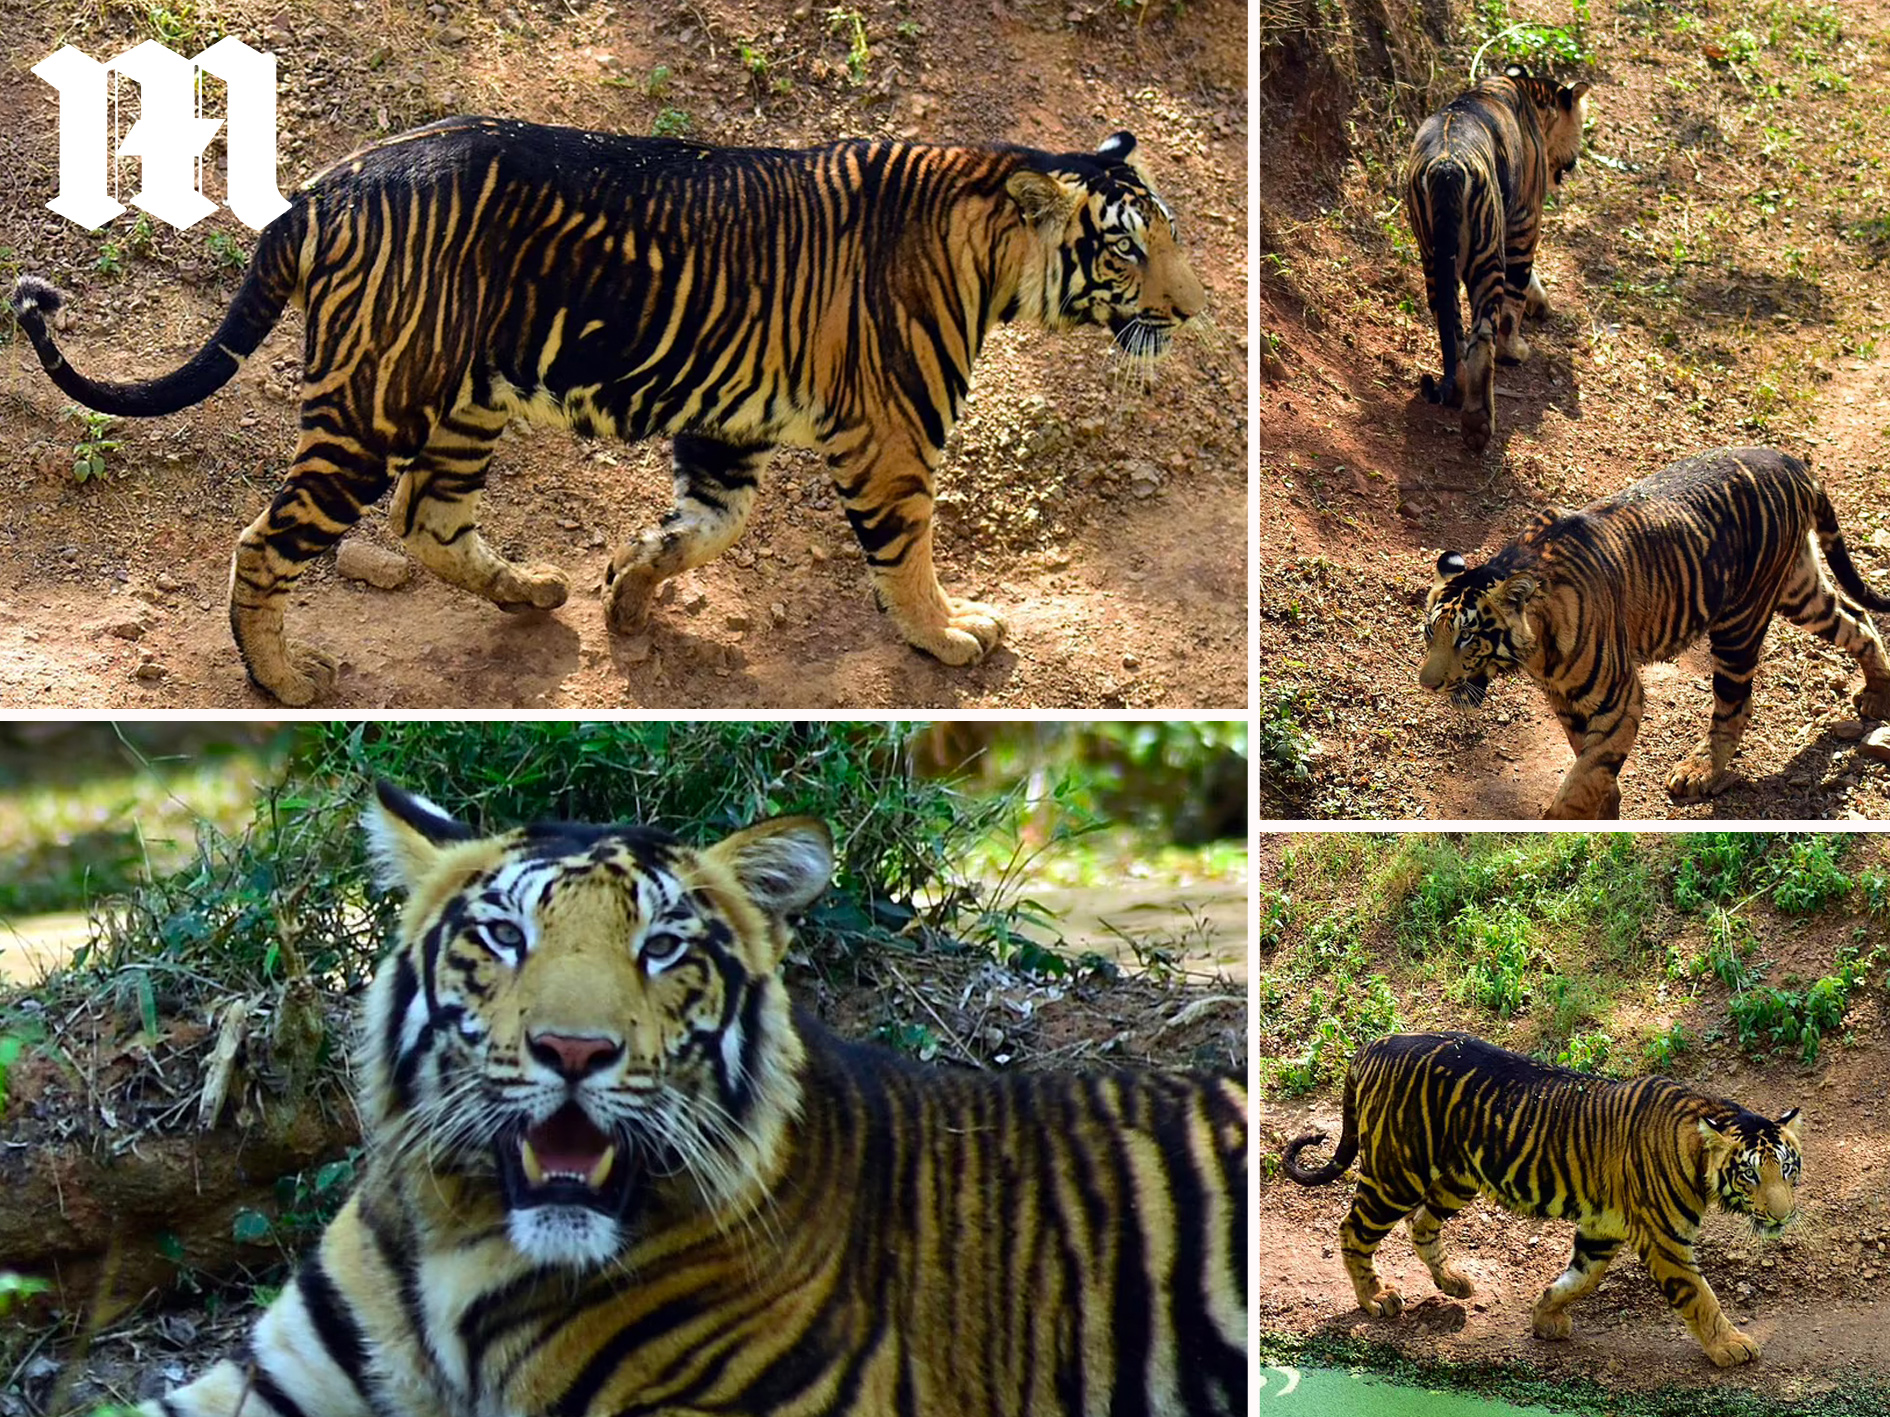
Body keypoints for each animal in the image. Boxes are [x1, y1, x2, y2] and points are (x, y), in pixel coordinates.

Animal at [10, 118, 1204, 706]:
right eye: (1129, 251)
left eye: (1171, 239)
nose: (1192, 310)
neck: (991, 252)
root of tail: (322, 183)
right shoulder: (892, 440)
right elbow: (906, 556)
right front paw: (950, 636)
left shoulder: (728, 426)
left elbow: (708, 525)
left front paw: (627, 590)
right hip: (374, 403)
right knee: (269, 539)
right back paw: (284, 678)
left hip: (465, 399)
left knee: (428, 521)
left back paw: (535, 591)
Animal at [1282, 1031, 1802, 1369]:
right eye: (1750, 1175)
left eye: (1787, 1169)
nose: (1783, 1215)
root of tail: (1373, 1045)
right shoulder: (1665, 1241)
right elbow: (1700, 1296)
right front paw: (1731, 1347)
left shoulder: (1601, 1228)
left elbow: (1580, 1278)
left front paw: (1545, 1316)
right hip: (1397, 1174)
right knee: (1354, 1229)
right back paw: (1376, 1298)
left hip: (1456, 1178)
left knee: (1422, 1222)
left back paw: (1454, 1283)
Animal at [1405, 64, 1591, 455]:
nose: (1575, 161)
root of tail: (1446, 166)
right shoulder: (1524, 221)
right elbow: (1515, 301)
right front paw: (1516, 350)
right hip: (1486, 258)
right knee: (1482, 338)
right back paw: (1478, 423)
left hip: (1432, 257)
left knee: (1452, 330)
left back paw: (1457, 394)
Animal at [1419, 446, 1890, 819]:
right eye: (1428, 633)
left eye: (1466, 637)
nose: (1428, 684)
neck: (1535, 653)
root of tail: (1792, 461)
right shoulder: (1566, 701)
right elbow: (1589, 762)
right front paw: (1606, 808)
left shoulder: (1618, 698)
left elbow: (1582, 778)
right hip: (1799, 590)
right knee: (1857, 619)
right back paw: (1877, 695)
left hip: (1741, 622)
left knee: (1734, 705)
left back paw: (1698, 771)